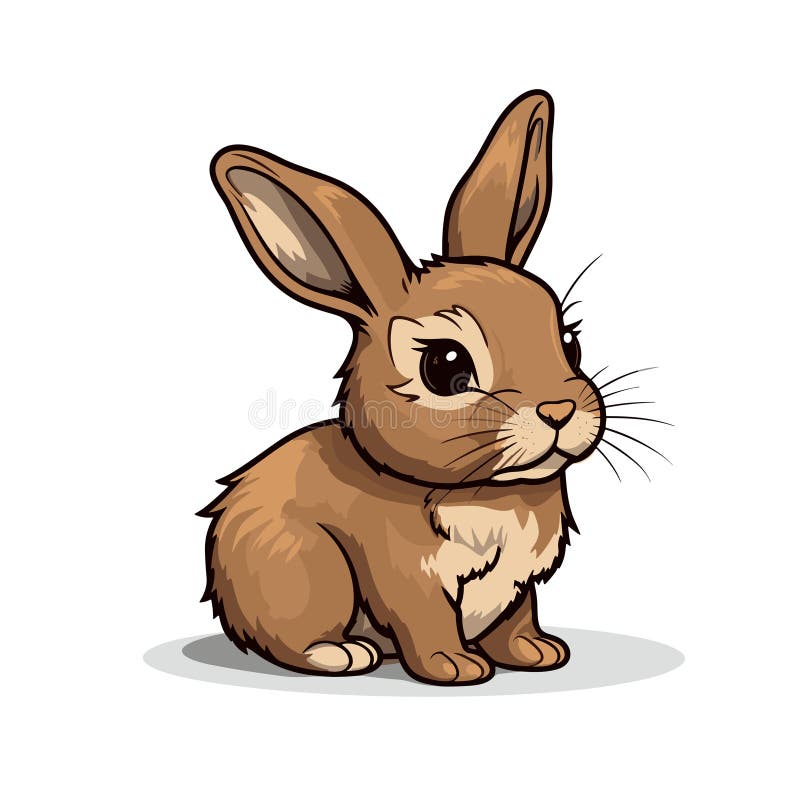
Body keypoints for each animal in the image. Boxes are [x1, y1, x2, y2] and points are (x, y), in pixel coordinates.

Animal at [200, 90, 607, 685]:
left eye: (570, 341)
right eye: (445, 365)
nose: (557, 410)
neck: (486, 493)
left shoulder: (518, 587)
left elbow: (516, 619)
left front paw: (537, 653)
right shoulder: (407, 579)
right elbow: (426, 623)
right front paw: (455, 668)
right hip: (310, 570)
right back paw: (343, 654)